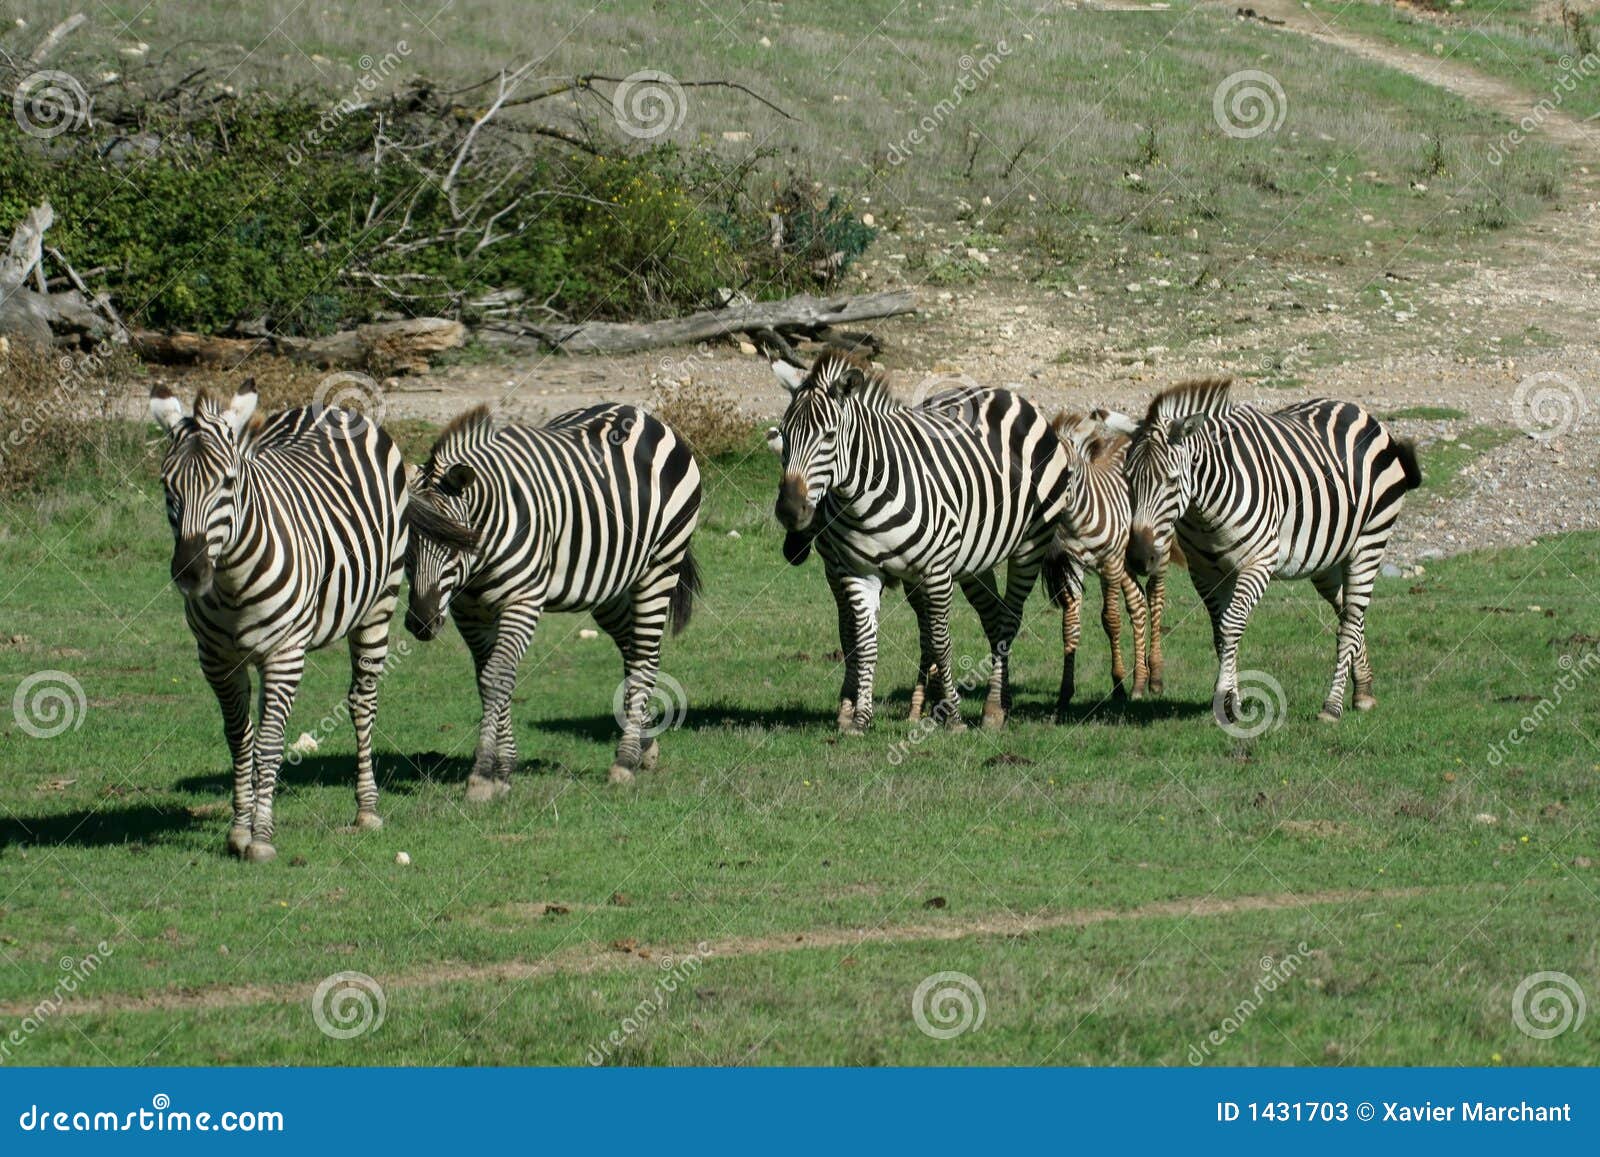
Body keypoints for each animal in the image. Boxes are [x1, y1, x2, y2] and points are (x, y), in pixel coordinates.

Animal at [150, 381, 470, 862]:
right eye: (167, 485)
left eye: (228, 481)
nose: (191, 572)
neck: (231, 584)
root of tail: (332, 408)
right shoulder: (216, 660)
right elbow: (240, 739)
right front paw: (239, 830)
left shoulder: (284, 655)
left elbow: (267, 744)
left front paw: (261, 838)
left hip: (378, 606)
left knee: (362, 702)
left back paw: (367, 811)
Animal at [403, 403, 702, 790]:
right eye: (407, 546)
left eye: (457, 545)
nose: (421, 623)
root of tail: (639, 413)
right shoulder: (467, 611)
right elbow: (487, 679)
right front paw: (504, 767)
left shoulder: (523, 601)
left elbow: (497, 676)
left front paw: (483, 774)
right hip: (610, 586)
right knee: (632, 648)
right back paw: (644, 745)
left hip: (660, 566)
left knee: (645, 658)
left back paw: (625, 760)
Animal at [770, 351, 1071, 733]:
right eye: (783, 434)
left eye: (829, 435)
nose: (790, 511)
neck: (863, 496)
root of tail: (1007, 394)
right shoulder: (857, 572)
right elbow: (863, 642)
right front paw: (859, 718)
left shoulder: (936, 570)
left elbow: (940, 641)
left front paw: (953, 716)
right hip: (975, 561)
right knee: (993, 618)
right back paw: (1000, 702)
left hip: (1029, 547)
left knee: (1010, 619)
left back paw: (991, 710)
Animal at [1041, 411, 1147, 714]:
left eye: (1068, 473)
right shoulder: (1073, 566)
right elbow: (1070, 627)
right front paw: (1065, 693)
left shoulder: (1110, 563)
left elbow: (1111, 620)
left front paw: (1119, 686)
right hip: (1123, 565)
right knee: (1138, 602)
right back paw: (1142, 679)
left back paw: (1145, 679)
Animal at [1111, 378, 1421, 724]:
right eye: (1127, 479)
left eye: (1171, 480)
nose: (1140, 557)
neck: (1204, 510)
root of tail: (1359, 411)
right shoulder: (1204, 572)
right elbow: (1220, 632)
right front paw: (1232, 700)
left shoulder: (1258, 562)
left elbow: (1232, 624)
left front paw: (1224, 699)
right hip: (1328, 559)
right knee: (1347, 615)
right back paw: (1363, 690)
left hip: (1370, 540)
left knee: (1352, 617)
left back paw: (1332, 705)